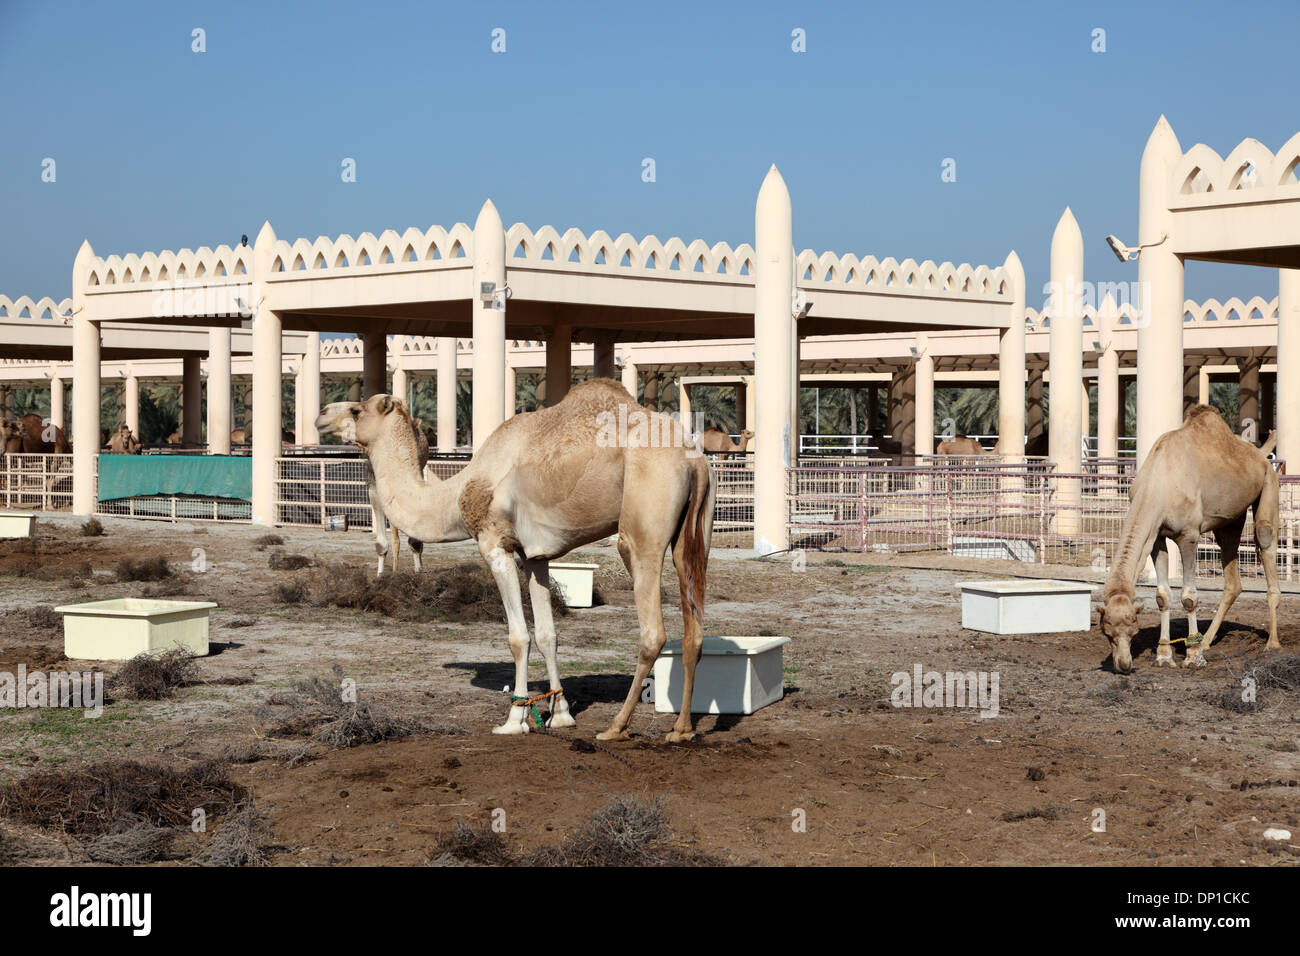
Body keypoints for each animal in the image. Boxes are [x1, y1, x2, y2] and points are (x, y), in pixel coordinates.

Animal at [316, 378, 715, 741]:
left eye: (357, 410)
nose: (321, 415)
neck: (456, 494)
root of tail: (693, 458)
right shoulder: (535, 557)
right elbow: (548, 634)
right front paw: (560, 714)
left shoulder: (496, 545)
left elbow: (518, 637)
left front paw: (515, 718)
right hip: (695, 534)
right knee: (694, 629)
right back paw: (681, 729)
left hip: (643, 526)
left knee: (652, 630)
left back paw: (617, 727)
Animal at [1098, 405, 1281, 673]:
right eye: (1107, 632)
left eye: (1133, 629)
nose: (1123, 664)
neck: (1159, 481)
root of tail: (1261, 453)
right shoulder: (1157, 535)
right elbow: (1162, 596)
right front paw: (1164, 656)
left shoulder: (1189, 535)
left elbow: (1189, 597)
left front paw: (1193, 657)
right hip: (1229, 520)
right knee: (1232, 576)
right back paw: (1206, 641)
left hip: (1269, 484)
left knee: (1265, 539)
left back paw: (1272, 644)